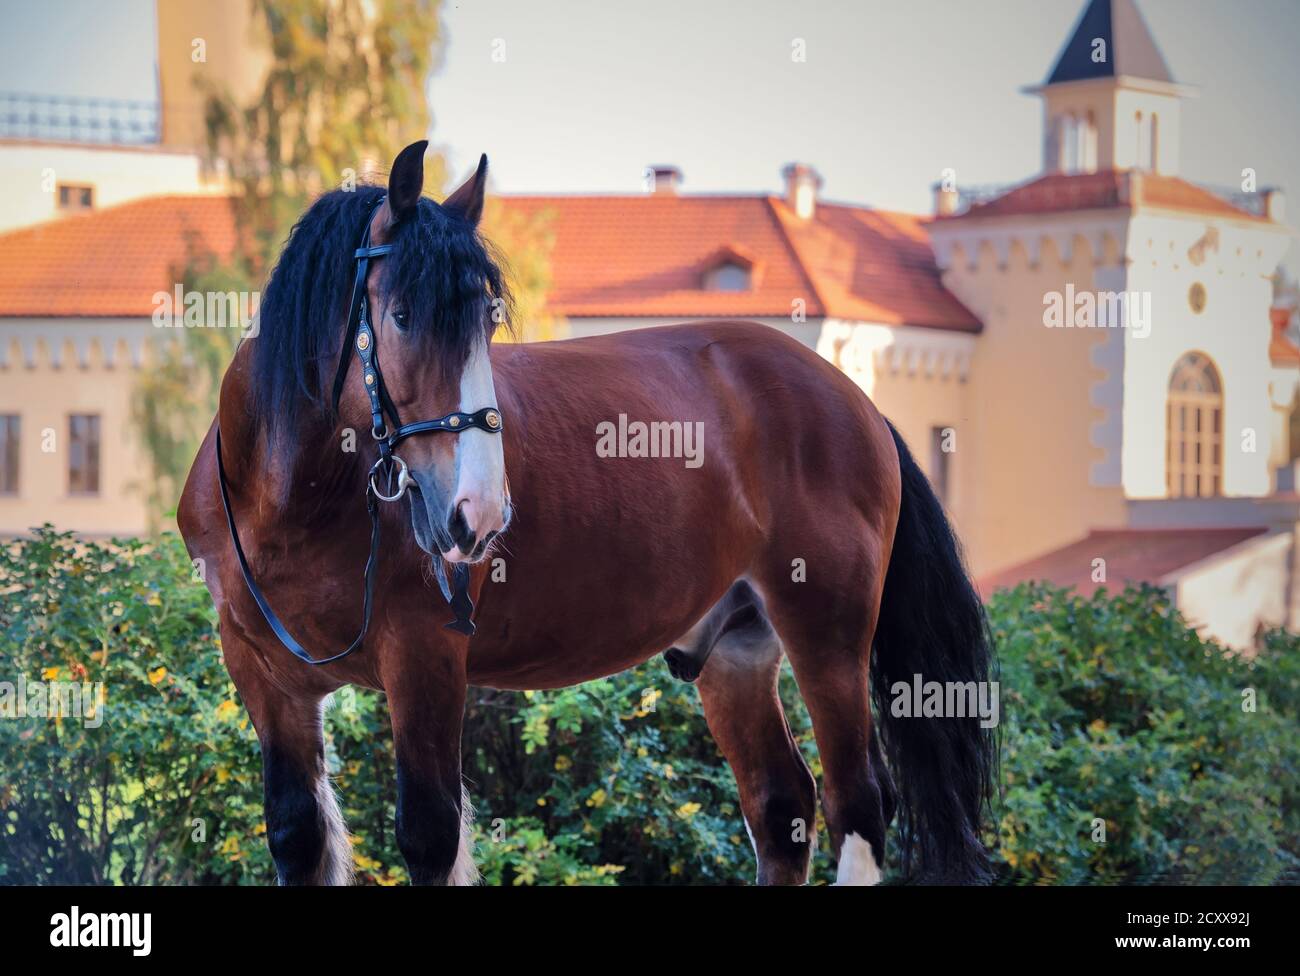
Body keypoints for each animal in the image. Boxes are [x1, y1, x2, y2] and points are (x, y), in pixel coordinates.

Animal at [178, 139, 995, 886]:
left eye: (487, 319)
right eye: (402, 314)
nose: (478, 513)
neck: (294, 505)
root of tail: (857, 401)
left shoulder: (424, 658)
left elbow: (430, 836)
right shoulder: (265, 676)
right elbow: (296, 834)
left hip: (827, 631)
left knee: (859, 805)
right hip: (738, 647)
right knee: (780, 804)